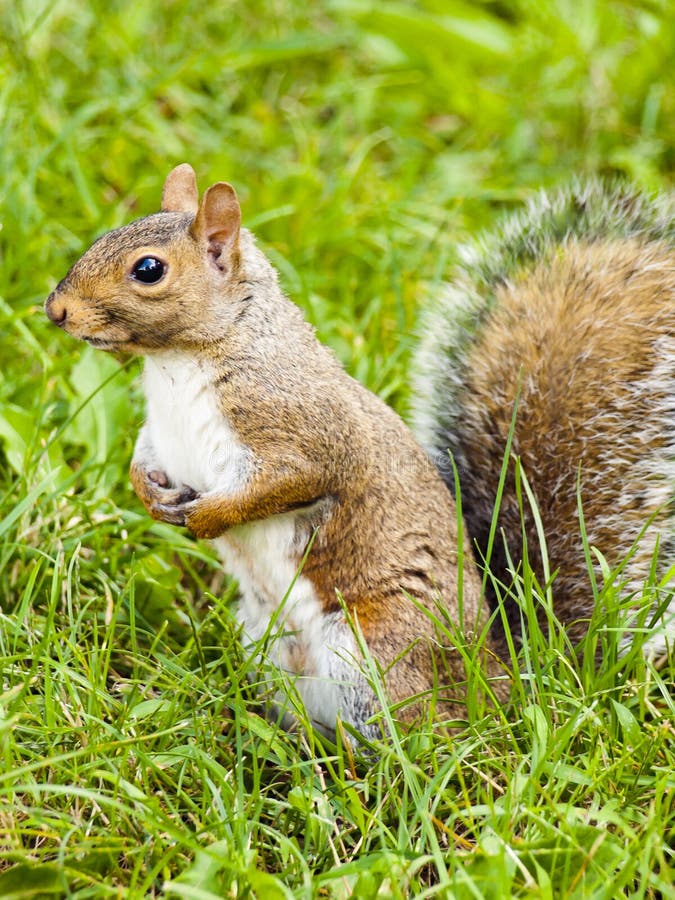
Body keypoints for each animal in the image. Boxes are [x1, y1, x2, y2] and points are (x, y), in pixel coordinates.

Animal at [45, 167, 674, 738]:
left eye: (148, 269)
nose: (55, 311)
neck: (176, 363)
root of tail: (500, 680)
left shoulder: (303, 431)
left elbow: (290, 482)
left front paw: (210, 517)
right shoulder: (160, 435)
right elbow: (142, 461)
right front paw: (150, 497)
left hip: (375, 655)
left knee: (419, 741)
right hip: (269, 647)